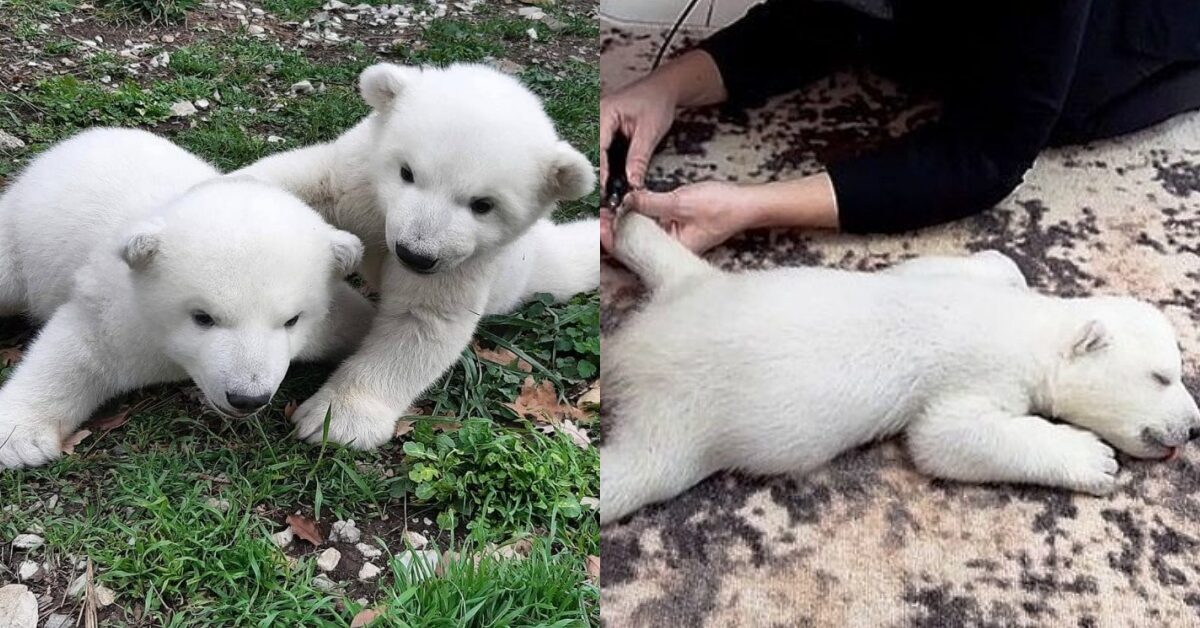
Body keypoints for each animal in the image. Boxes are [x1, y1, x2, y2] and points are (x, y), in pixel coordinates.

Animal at [0, 128, 373, 469]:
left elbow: (354, 322)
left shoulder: (324, 318)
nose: (247, 397)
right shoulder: (119, 313)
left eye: (291, 319)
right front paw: (19, 438)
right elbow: (74, 351)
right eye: (203, 317)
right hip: (18, 236)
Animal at [233, 64, 597, 448]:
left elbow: (419, 323)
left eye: (483, 205)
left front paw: (335, 422)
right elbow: (304, 181)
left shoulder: (466, 263)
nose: (414, 254)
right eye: (407, 172)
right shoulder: (357, 181)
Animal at [600, 212, 1200, 525]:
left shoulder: (940, 280)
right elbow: (946, 437)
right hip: (681, 419)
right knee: (642, 471)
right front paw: (1091, 458)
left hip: (696, 287)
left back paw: (626, 221)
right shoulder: (978, 374)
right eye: (1161, 377)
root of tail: (633, 348)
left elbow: (967, 266)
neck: (1029, 330)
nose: (1193, 427)